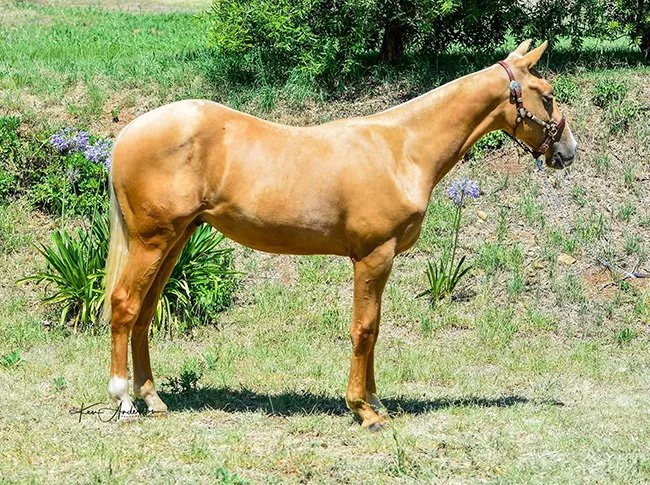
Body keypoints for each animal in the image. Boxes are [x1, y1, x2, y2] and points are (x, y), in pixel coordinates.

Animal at [103, 40, 577, 429]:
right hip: (152, 242)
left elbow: (376, 328)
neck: (402, 149)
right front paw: (363, 411)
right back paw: (123, 400)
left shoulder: (382, 259)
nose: (568, 152)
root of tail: (127, 134)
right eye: (548, 96)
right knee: (125, 305)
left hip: (176, 240)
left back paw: (153, 399)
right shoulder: (373, 256)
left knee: (145, 313)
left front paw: (376, 401)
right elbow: (363, 329)